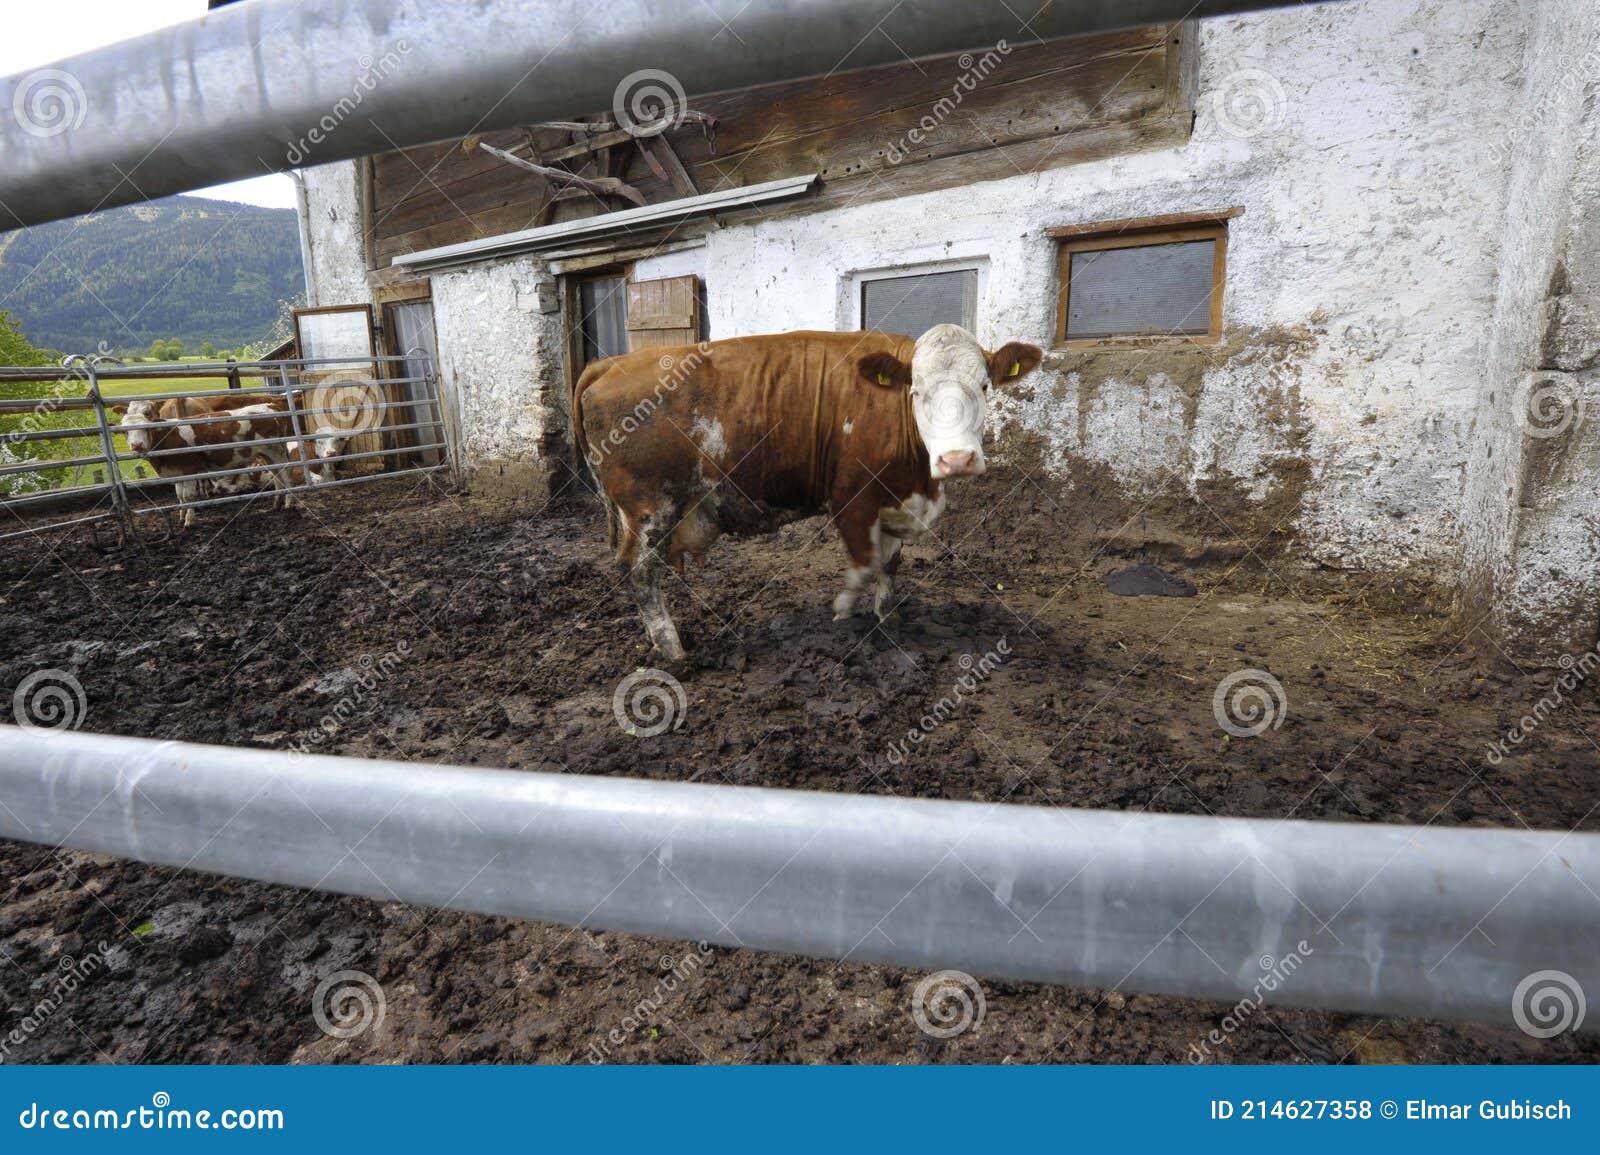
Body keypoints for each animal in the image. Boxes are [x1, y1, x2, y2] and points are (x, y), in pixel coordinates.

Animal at [111, 396, 298, 527]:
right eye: (124, 431)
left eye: (146, 421)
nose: (137, 445)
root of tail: (270, 405)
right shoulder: (175, 472)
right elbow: (179, 496)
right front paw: (181, 516)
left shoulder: (189, 469)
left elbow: (188, 496)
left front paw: (190, 520)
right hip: (266, 454)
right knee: (277, 476)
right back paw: (277, 503)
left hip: (277, 450)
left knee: (286, 475)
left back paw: (289, 502)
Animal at [573, 325, 1043, 660]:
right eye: (917, 390)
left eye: (984, 386)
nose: (957, 459)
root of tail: (613, 363)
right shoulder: (852, 499)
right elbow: (864, 565)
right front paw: (843, 614)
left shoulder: (893, 499)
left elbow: (890, 564)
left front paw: (887, 618)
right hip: (651, 507)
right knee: (640, 572)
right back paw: (672, 648)